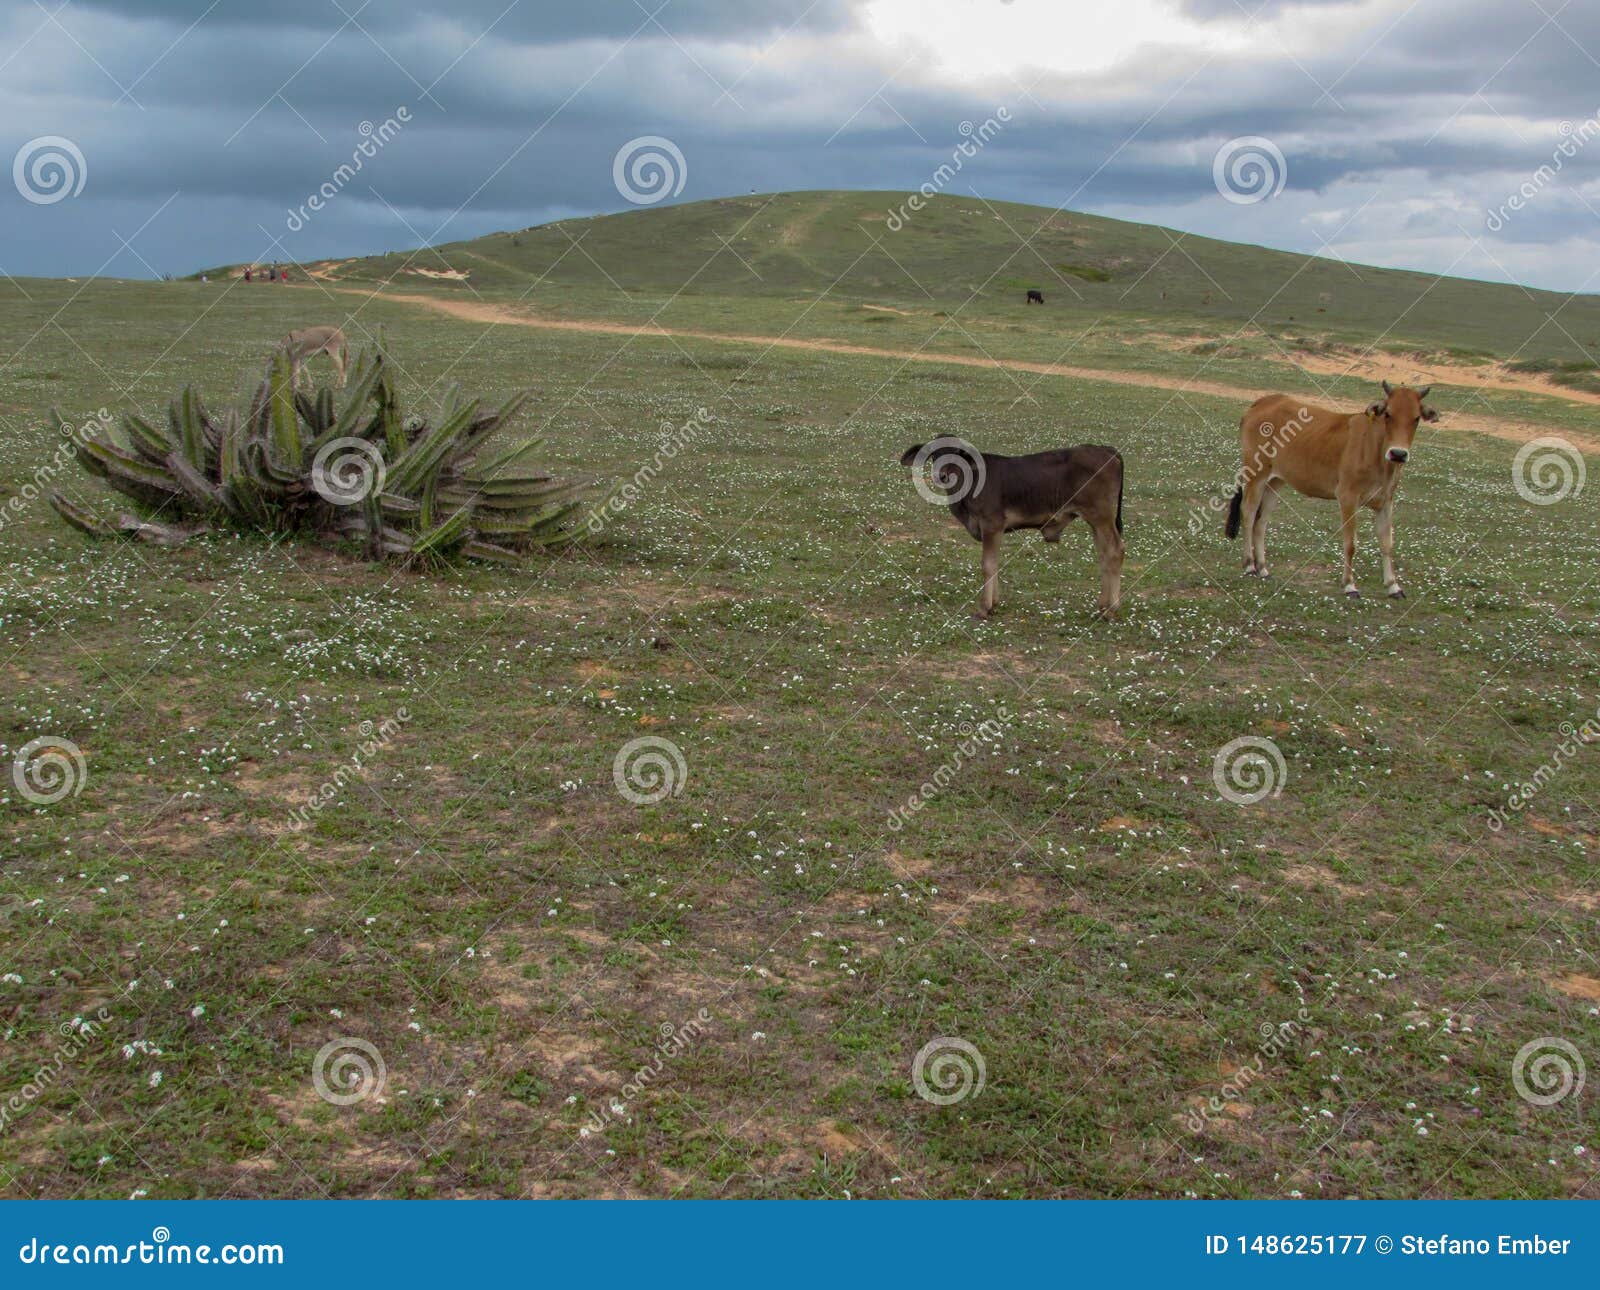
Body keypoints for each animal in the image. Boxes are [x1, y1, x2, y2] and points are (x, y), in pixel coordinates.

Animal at [901, 438, 1124, 619]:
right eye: (933, 453)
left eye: (958, 453)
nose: (943, 476)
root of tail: (1105, 449)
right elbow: (994, 564)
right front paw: (994, 604)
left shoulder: (991, 524)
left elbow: (987, 565)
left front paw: (984, 608)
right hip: (1095, 521)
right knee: (1103, 555)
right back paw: (1102, 605)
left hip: (1101, 516)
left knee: (1115, 552)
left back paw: (1111, 609)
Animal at [1225, 382, 1439, 598]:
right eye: (1388, 414)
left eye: (1416, 418)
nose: (1398, 453)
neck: (1377, 452)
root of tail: (1262, 403)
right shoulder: (1347, 497)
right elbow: (1351, 544)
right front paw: (1349, 585)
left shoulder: (1386, 501)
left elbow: (1387, 543)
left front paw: (1393, 586)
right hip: (1256, 476)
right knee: (1248, 513)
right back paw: (1250, 565)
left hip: (1275, 482)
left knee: (1261, 522)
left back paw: (1263, 568)